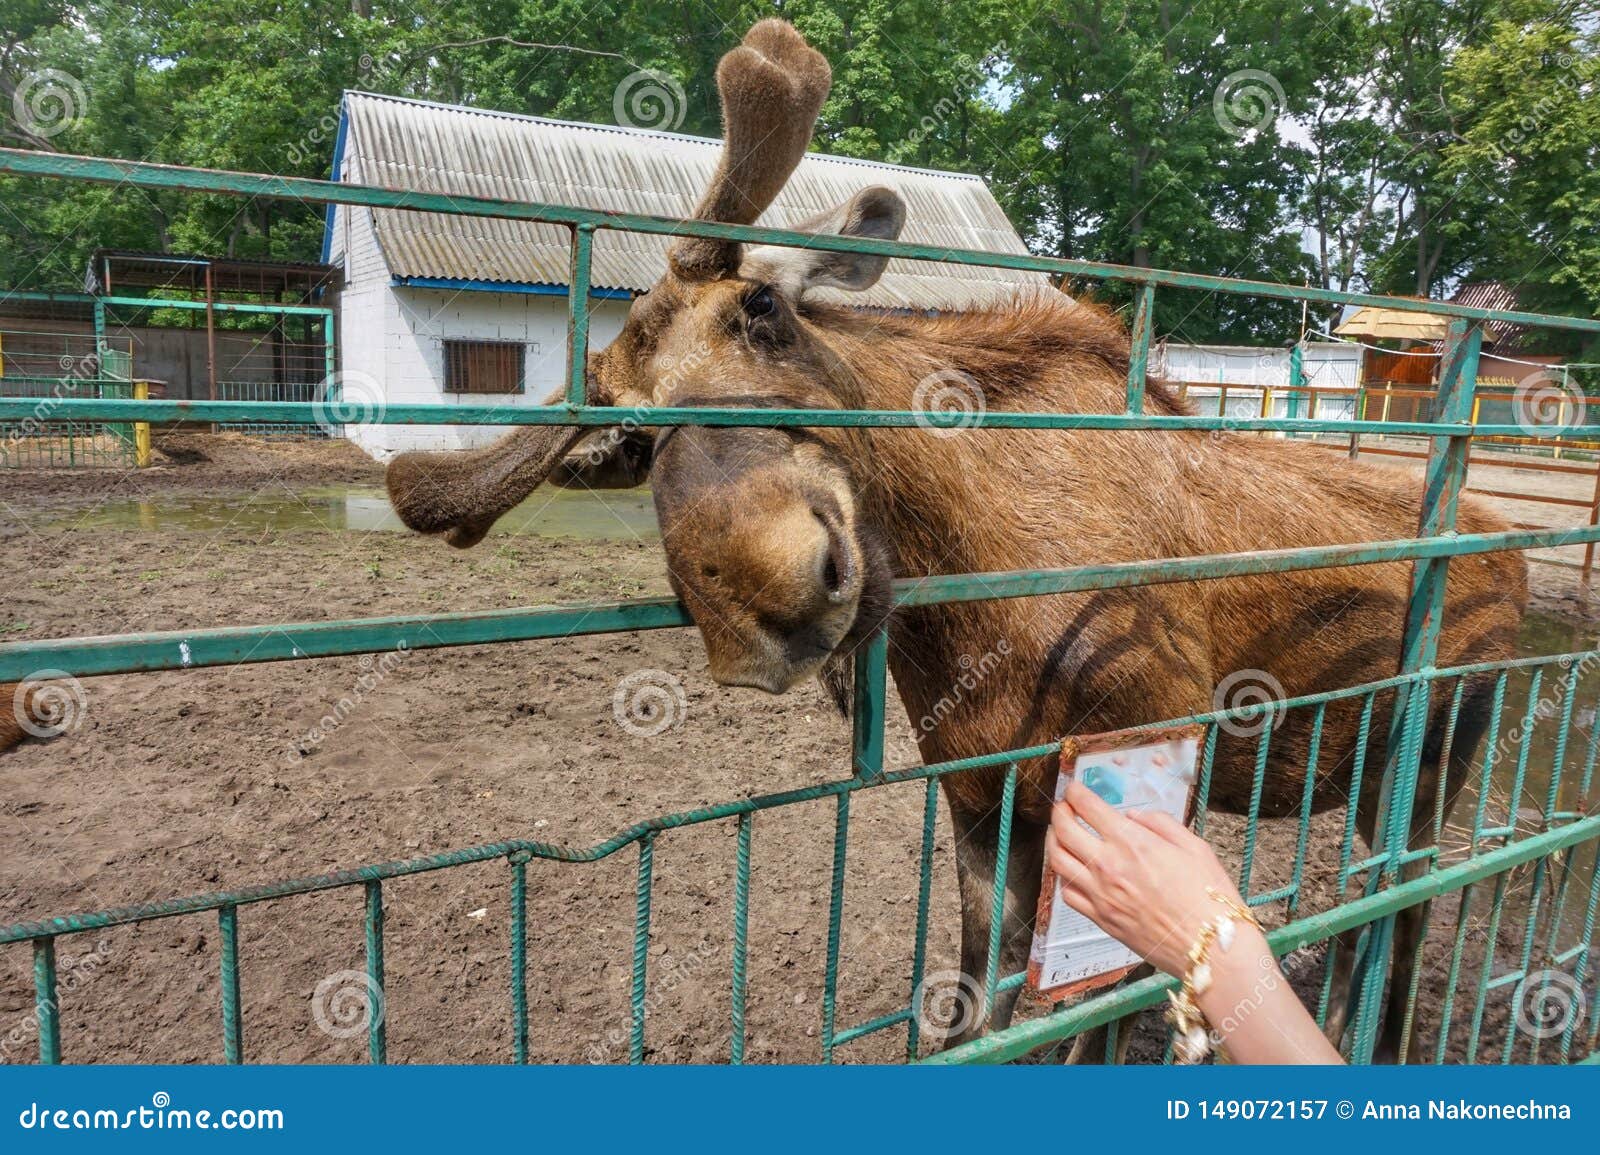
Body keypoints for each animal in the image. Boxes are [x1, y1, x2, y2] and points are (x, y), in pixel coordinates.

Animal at [383, 19, 1526, 1063]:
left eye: (763, 306)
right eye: (627, 436)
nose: (762, 596)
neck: (974, 588)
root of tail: (1513, 551)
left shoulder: (1139, 766)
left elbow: (1080, 1027)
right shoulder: (979, 801)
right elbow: (975, 1013)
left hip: (1431, 763)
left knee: (1409, 911)